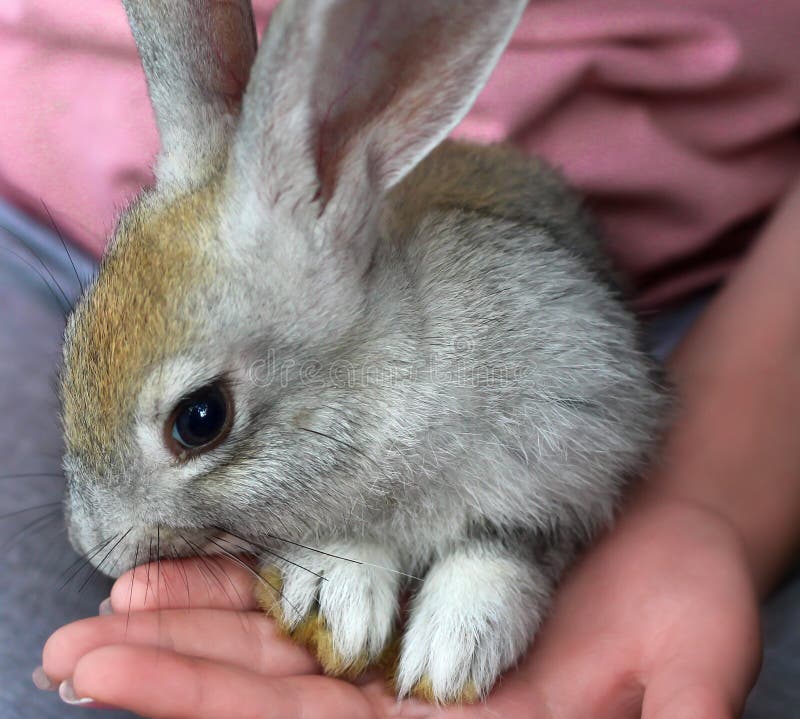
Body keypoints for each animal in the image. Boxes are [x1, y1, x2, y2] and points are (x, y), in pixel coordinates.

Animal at [59, 0, 668, 705]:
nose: (94, 544)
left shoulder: (576, 451)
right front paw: (334, 604)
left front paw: (448, 658)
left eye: (200, 418)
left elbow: (504, 550)